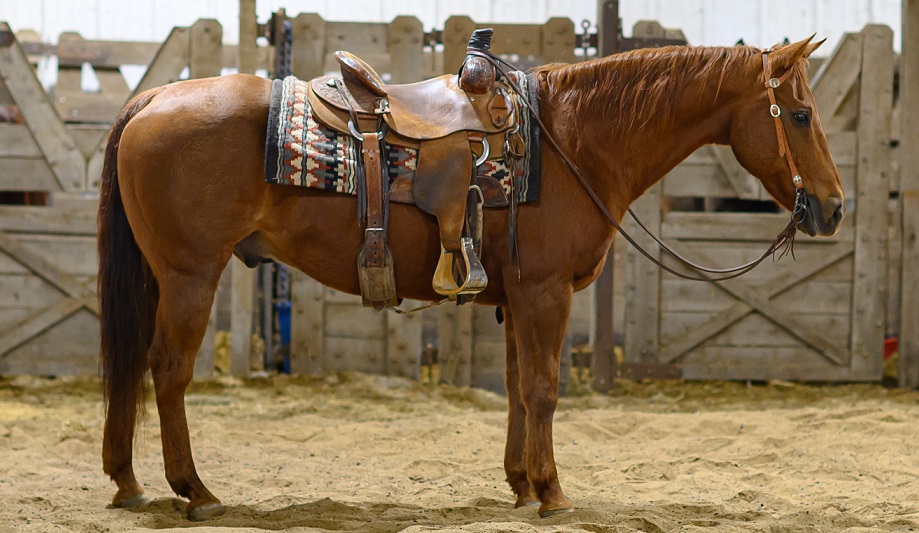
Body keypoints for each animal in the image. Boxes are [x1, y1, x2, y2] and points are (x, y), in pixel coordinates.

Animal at [97, 35, 842, 520]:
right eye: (801, 114)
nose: (833, 207)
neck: (573, 142)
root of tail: (152, 98)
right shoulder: (544, 293)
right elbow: (543, 389)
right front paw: (553, 492)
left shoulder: (517, 296)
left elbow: (514, 389)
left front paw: (521, 483)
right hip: (191, 274)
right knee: (167, 370)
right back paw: (194, 489)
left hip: (164, 276)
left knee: (130, 364)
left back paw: (129, 482)